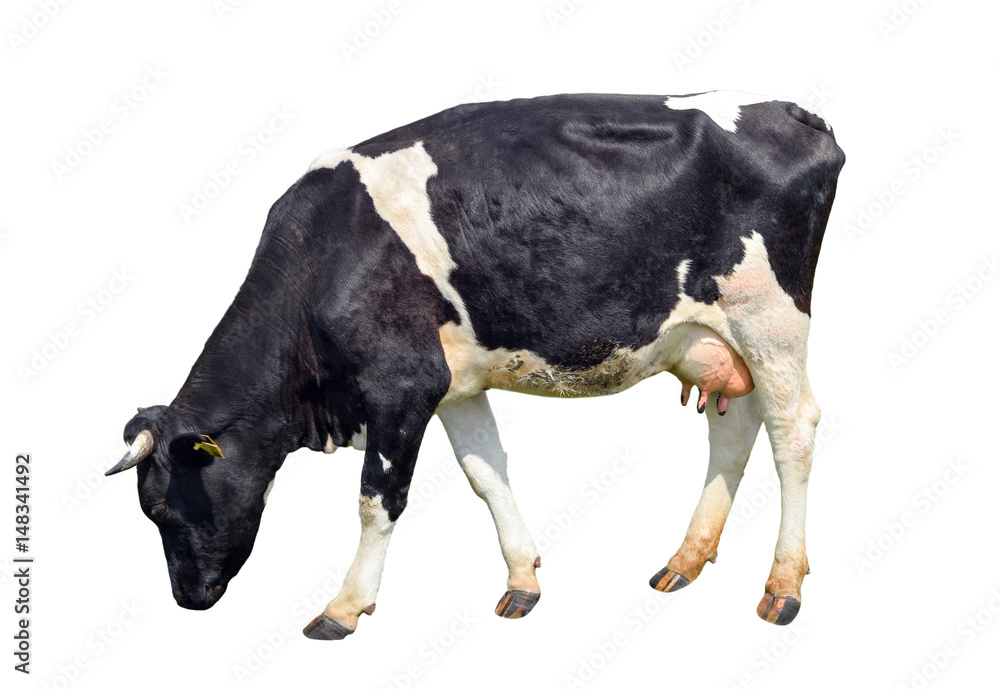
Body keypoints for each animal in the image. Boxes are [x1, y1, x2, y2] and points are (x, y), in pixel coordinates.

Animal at [106, 91, 845, 640]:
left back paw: (782, 586)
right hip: (716, 336)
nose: (189, 599)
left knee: (793, 432)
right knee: (734, 430)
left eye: (162, 507)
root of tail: (787, 110)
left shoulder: (401, 385)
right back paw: (685, 560)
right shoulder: (454, 385)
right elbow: (486, 474)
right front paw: (522, 579)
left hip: (772, 319)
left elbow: (378, 498)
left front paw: (344, 606)